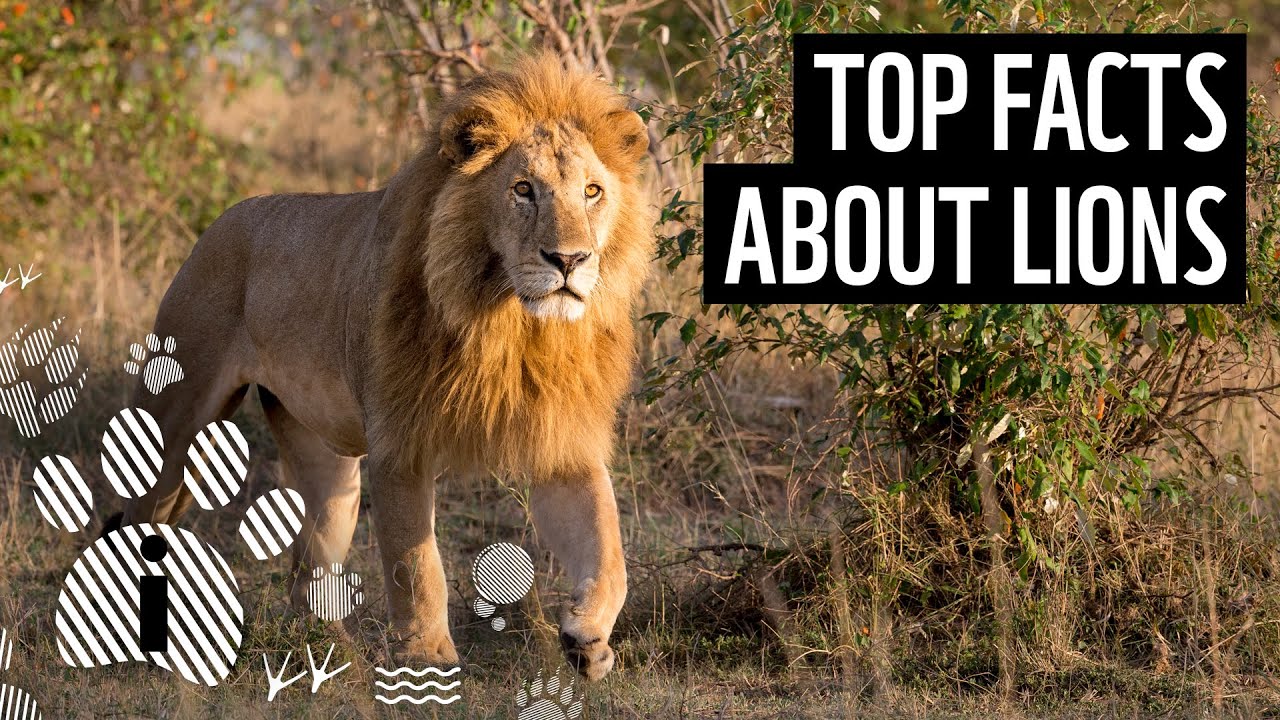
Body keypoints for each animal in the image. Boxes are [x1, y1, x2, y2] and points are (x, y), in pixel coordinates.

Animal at [110, 55, 653, 681]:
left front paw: (588, 641)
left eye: (592, 191)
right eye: (523, 190)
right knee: (136, 512)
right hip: (177, 418)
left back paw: (328, 650)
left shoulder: (563, 439)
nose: (569, 259)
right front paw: (427, 659)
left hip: (325, 461)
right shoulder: (401, 442)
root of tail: (222, 220)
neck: (513, 325)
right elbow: (415, 563)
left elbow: (609, 551)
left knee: (309, 558)